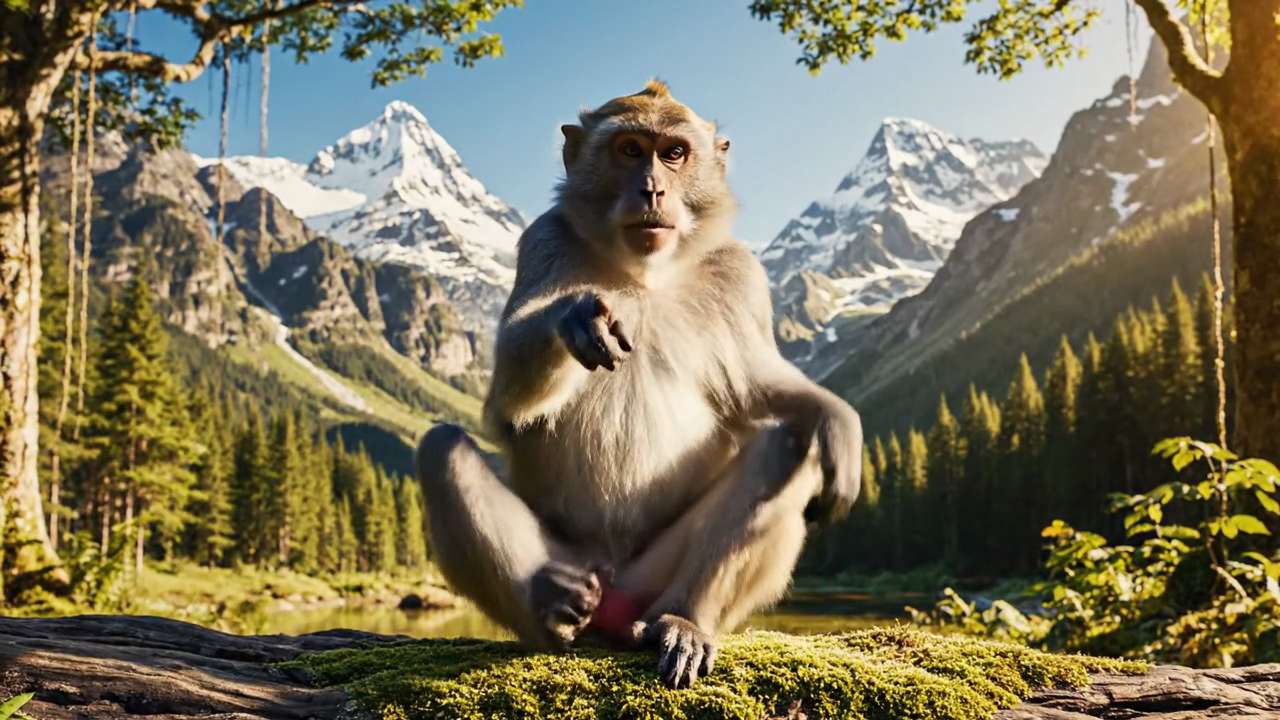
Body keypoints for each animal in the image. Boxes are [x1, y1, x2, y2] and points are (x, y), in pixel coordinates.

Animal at [414, 79, 863, 690]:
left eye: (673, 153)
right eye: (629, 150)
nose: (652, 187)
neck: (644, 274)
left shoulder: (739, 275)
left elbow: (754, 384)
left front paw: (838, 418)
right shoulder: (545, 241)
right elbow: (509, 402)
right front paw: (577, 316)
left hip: (650, 581)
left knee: (787, 447)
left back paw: (684, 621)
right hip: (574, 562)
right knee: (442, 450)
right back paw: (550, 606)